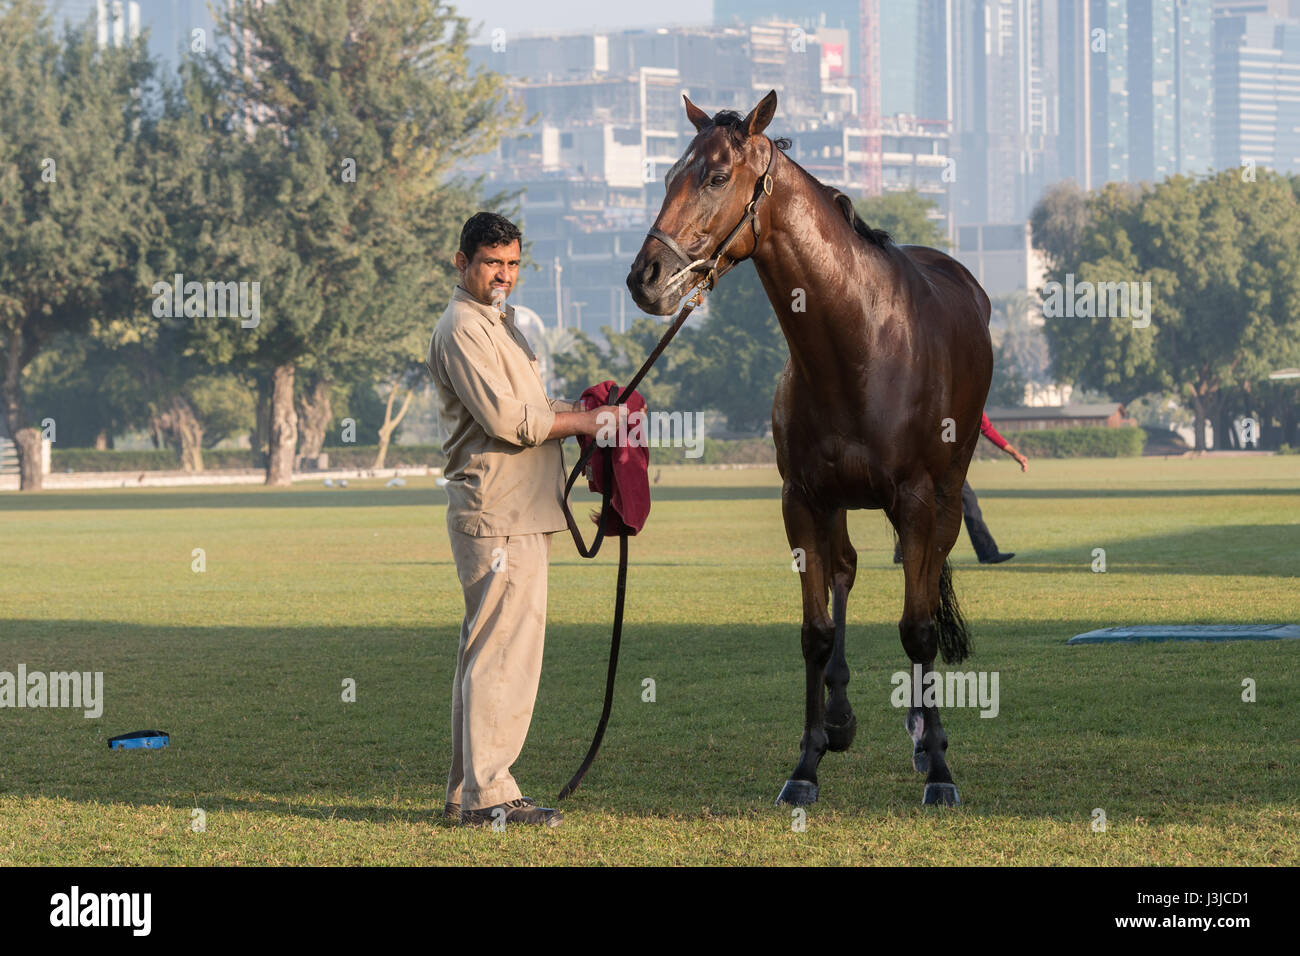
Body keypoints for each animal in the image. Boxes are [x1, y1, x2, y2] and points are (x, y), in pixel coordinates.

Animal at [626, 90, 993, 807]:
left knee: (926, 581)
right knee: (847, 568)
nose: (646, 277)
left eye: (715, 176)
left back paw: (921, 733)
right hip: (841, 501)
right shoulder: (802, 500)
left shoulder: (915, 498)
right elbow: (815, 632)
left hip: (944, 493)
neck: (862, 341)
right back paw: (843, 718)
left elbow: (918, 626)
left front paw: (939, 768)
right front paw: (807, 762)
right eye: (668, 175)